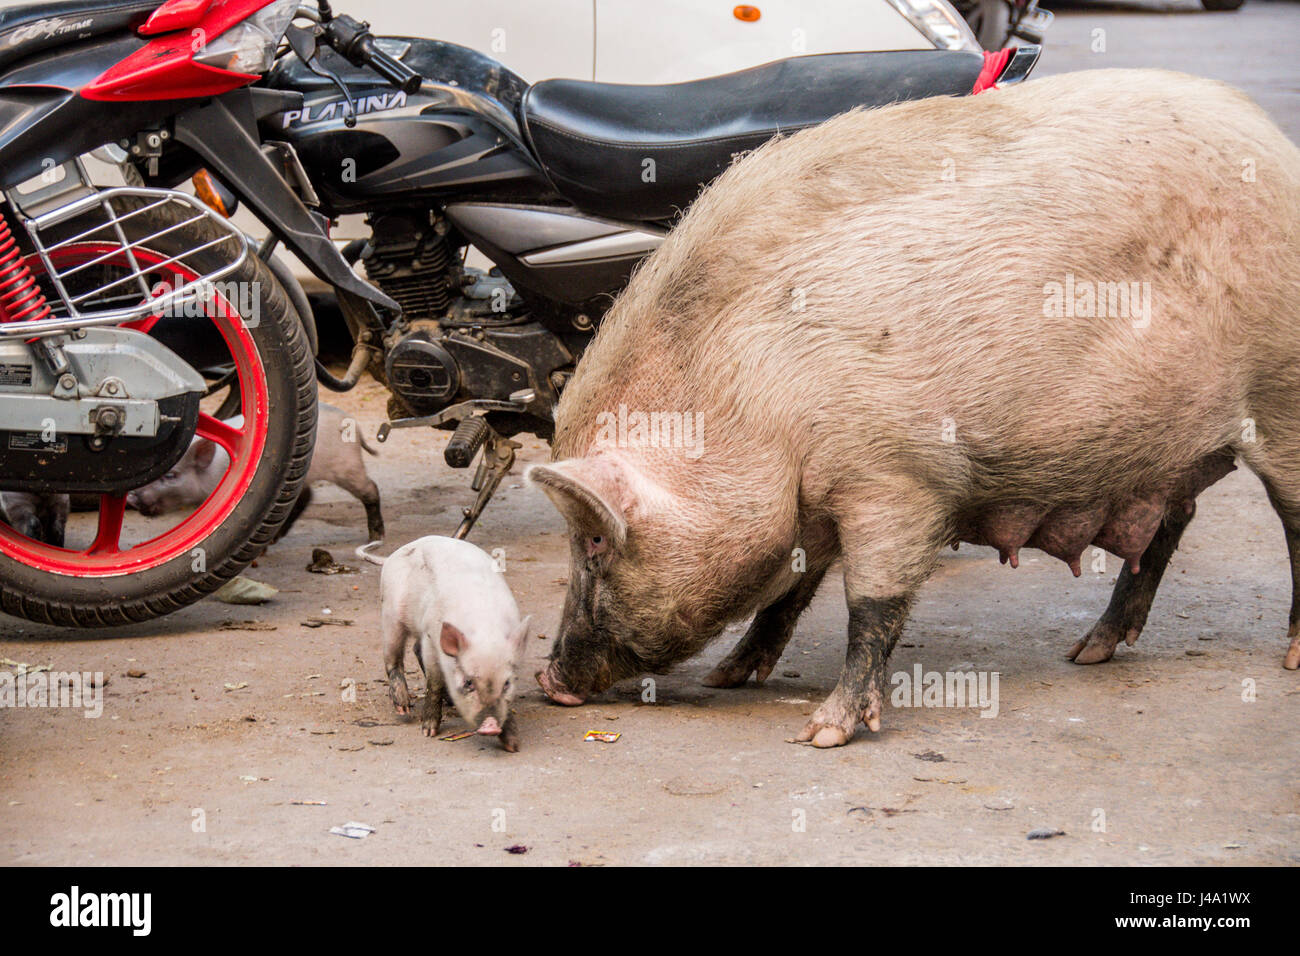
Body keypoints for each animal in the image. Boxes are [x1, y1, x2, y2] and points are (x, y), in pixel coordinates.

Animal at [127, 402, 384, 541]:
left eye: (171, 476)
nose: (132, 498)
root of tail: (355, 426)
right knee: (306, 497)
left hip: (347, 466)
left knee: (371, 488)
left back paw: (376, 535)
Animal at [358, 537, 532, 752]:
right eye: (468, 682)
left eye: (507, 683)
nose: (490, 726)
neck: (484, 630)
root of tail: (393, 555)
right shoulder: (431, 638)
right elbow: (434, 683)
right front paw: (428, 732)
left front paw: (513, 745)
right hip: (390, 614)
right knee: (393, 660)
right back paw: (404, 708)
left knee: (415, 648)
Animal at [528, 69, 1300, 747]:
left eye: (594, 541)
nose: (548, 680)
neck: (747, 394)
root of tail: (1276, 142)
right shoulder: (819, 498)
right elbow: (789, 594)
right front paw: (729, 676)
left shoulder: (896, 477)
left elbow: (872, 602)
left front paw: (822, 734)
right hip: (1166, 448)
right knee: (1172, 522)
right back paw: (1089, 652)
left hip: (1281, 393)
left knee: (1291, 516)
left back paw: (1289, 658)